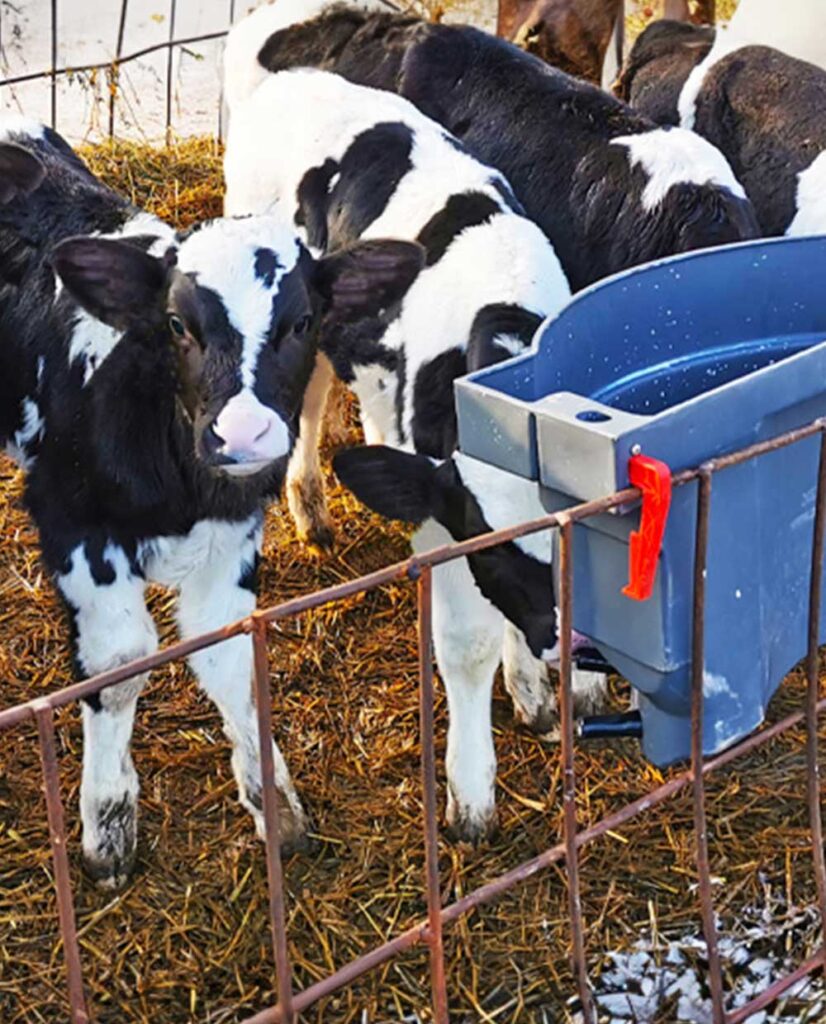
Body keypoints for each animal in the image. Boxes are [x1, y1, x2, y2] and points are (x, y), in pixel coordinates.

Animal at [0, 115, 420, 886]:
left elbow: (229, 653)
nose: (245, 431)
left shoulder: (232, 534)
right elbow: (120, 662)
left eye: (303, 322)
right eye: (177, 325)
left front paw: (277, 806)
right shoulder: (71, 519)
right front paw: (107, 829)